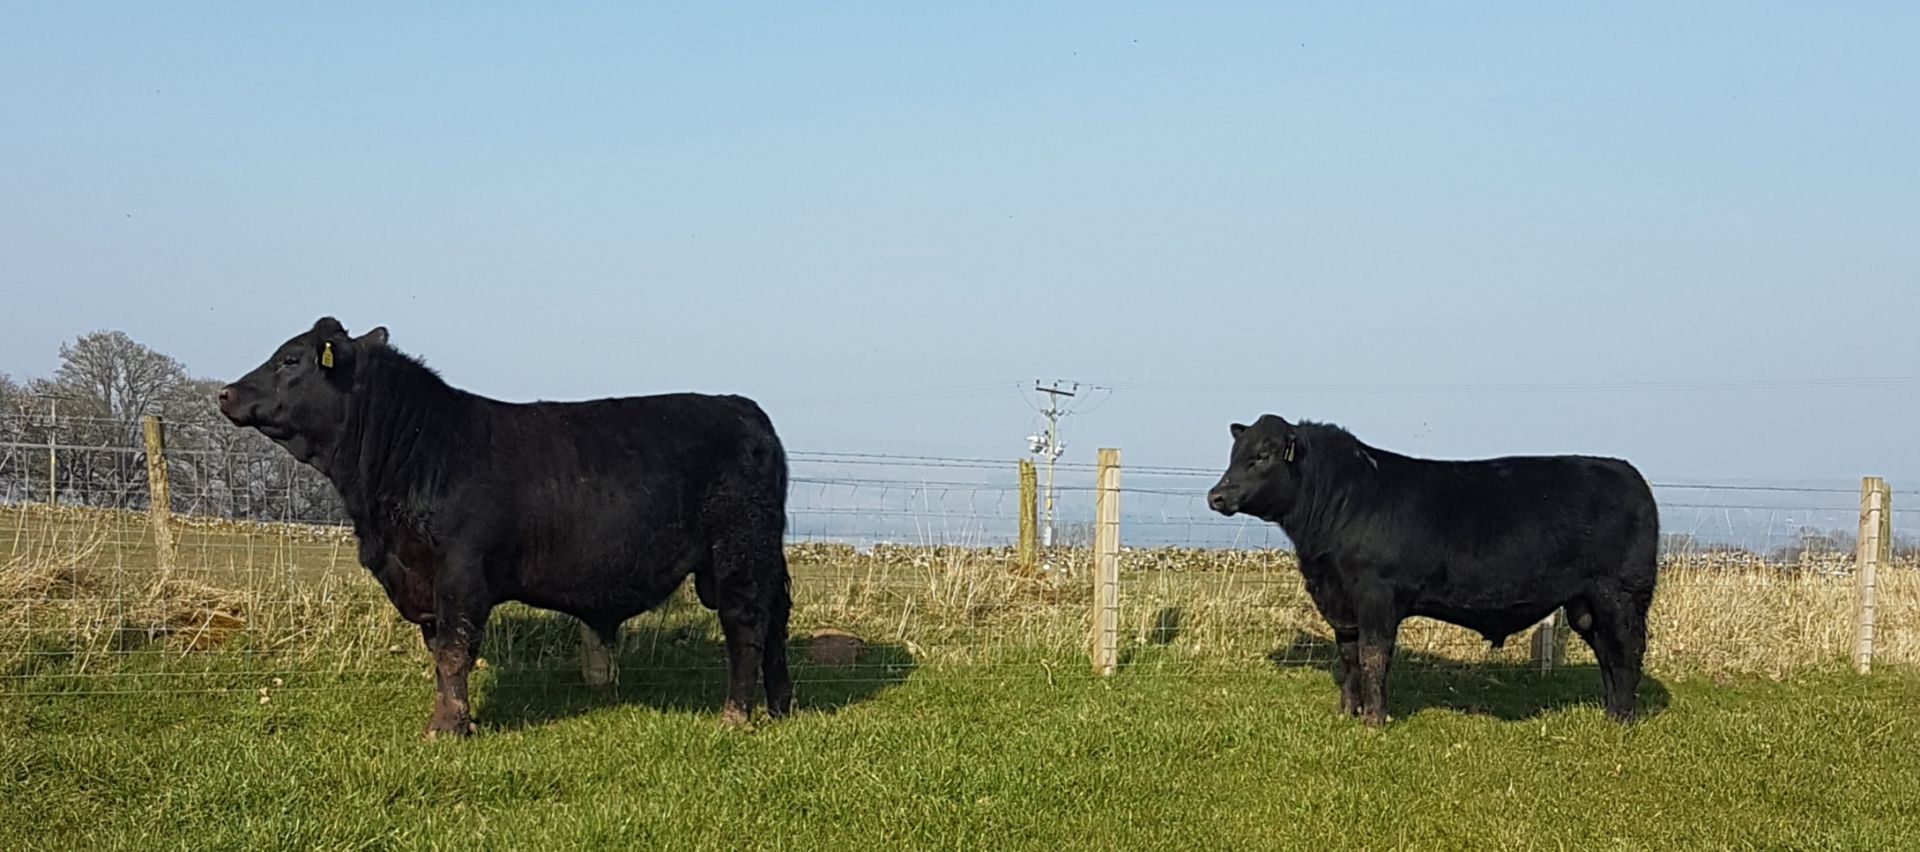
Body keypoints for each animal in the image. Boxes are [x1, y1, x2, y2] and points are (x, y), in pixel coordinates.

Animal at [218, 317, 793, 738]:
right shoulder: (422, 581)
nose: (225, 393)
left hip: (738, 554)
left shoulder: (461, 574)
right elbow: (440, 655)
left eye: (290, 359)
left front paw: (447, 730)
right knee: (775, 625)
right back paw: (780, 707)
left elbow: (455, 652)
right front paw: (454, 720)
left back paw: (736, 716)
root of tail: (745, 409)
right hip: (757, 557)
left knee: (746, 626)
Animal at [1206, 414, 1659, 727]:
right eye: (1234, 454)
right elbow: (1349, 657)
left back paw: (1623, 719)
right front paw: (1347, 713)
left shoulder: (1376, 595)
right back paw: (1611, 712)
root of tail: (1628, 473)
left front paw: (1374, 720)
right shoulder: (1340, 601)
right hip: (1584, 604)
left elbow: (1373, 655)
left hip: (1620, 594)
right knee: (1607, 652)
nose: (1217, 496)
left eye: (1262, 456)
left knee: (1626, 651)